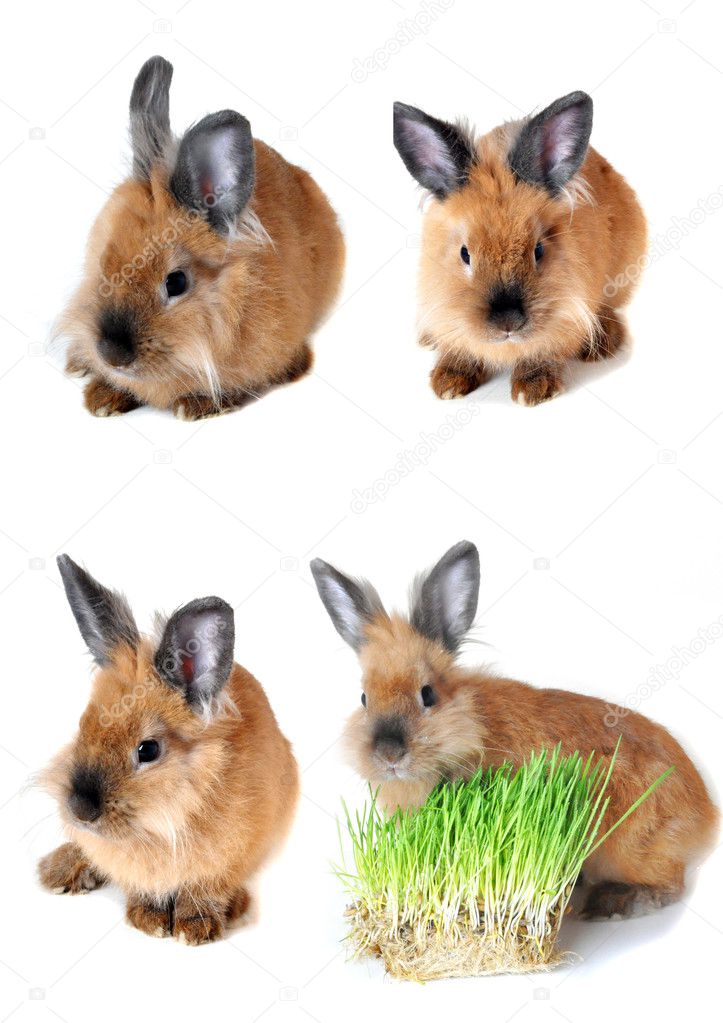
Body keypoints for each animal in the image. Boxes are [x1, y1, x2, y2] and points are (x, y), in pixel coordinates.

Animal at [38, 555, 299, 943]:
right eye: (83, 725)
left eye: (147, 750)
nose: (80, 810)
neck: (165, 820)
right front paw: (150, 920)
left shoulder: (228, 859)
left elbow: (207, 888)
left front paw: (195, 927)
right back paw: (57, 872)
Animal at [311, 541, 718, 920]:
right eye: (364, 697)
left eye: (428, 694)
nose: (389, 754)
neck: (471, 726)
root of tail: (706, 815)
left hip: (632, 845)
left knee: (671, 884)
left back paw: (616, 902)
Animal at [393, 92, 647, 405]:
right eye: (465, 253)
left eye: (538, 250)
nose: (508, 322)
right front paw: (448, 382)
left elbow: (543, 351)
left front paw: (533, 389)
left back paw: (601, 344)